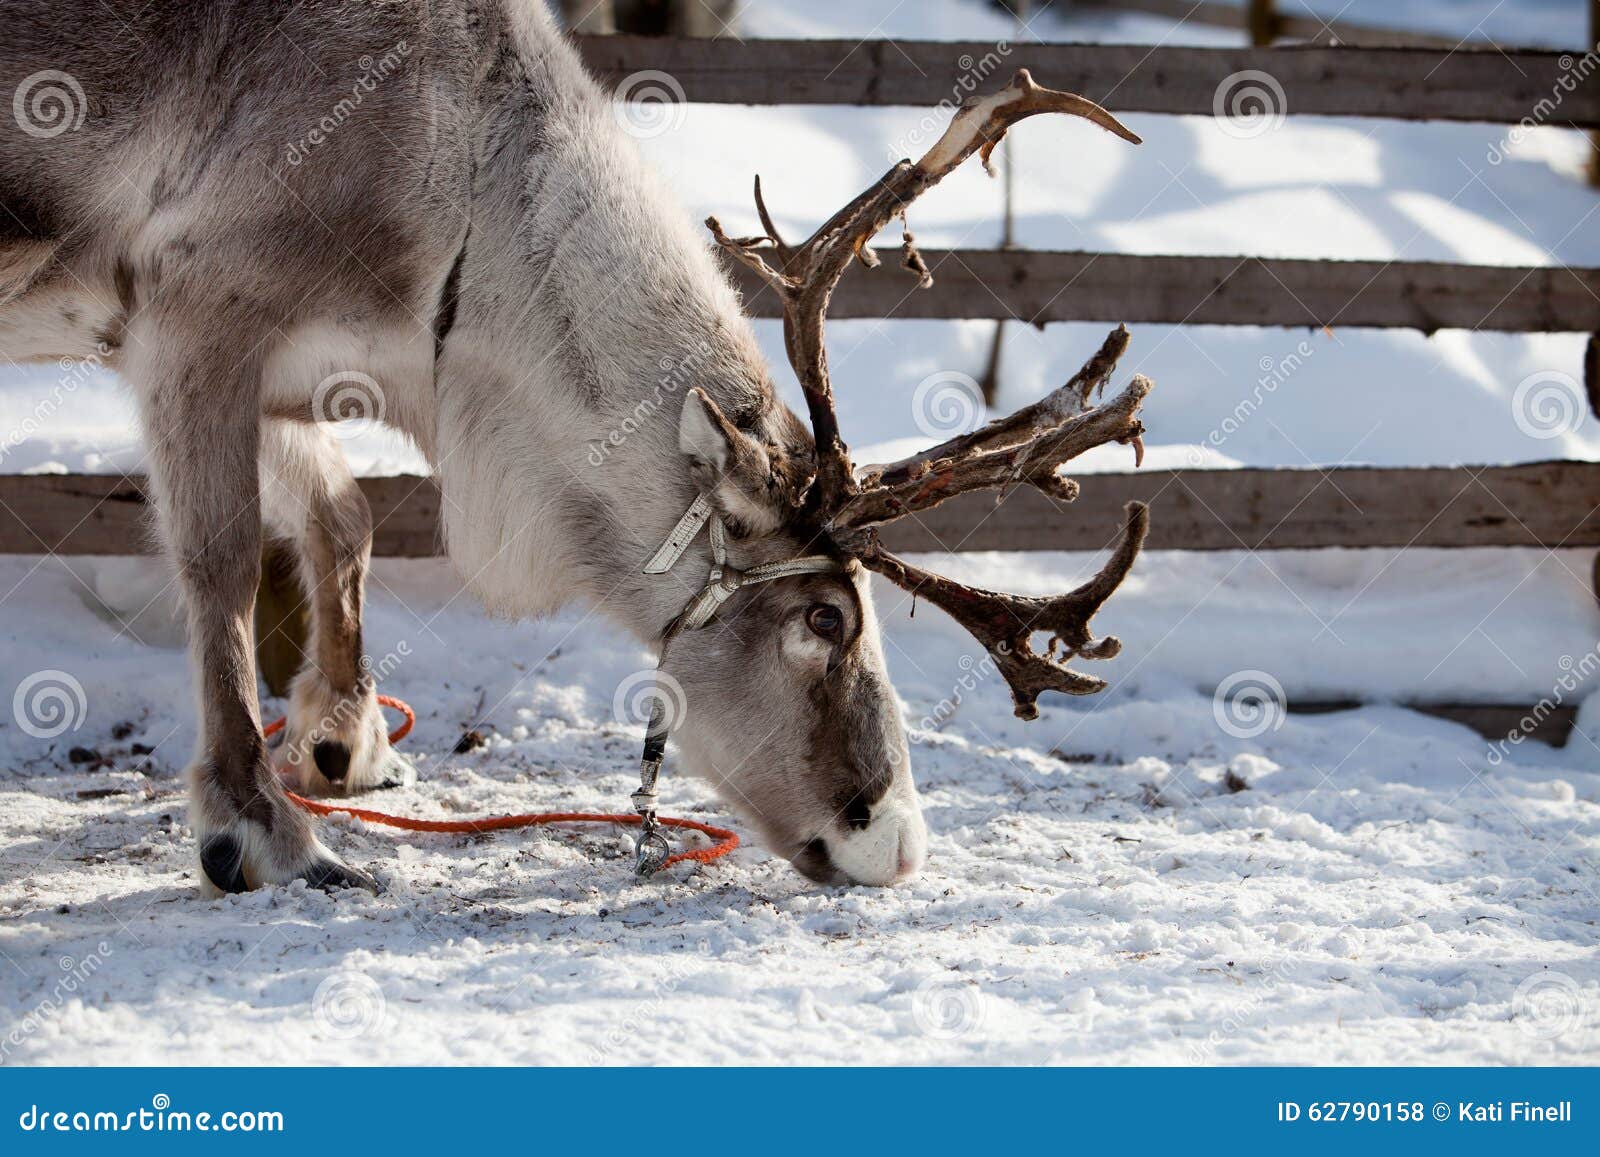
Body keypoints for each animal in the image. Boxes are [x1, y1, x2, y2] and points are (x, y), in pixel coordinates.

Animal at [0, 0, 1151, 894]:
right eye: (824, 615)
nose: (900, 844)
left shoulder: (280, 363)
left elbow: (344, 516)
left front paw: (344, 738)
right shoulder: (191, 309)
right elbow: (225, 563)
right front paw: (256, 825)